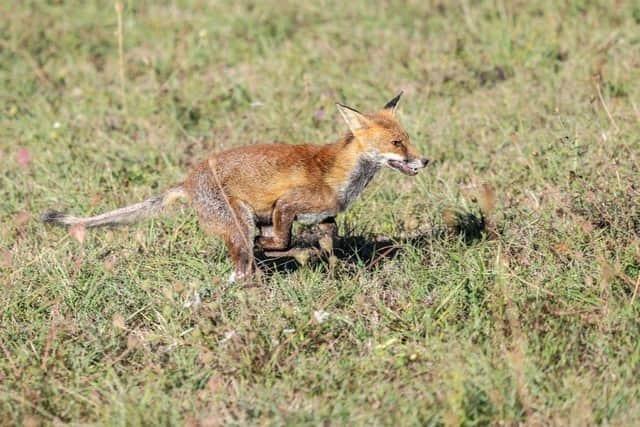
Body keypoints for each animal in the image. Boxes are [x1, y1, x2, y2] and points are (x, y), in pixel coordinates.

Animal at [42, 92, 429, 282]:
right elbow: (282, 241)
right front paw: (283, 250)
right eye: (397, 144)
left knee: (246, 267)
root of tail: (188, 180)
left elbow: (328, 246)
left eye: (408, 139)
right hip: (238, 222)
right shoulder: (284, 206)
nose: (425, 160)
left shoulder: (322, 219)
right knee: (242, 267)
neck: (340, 174)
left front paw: (338, 270)